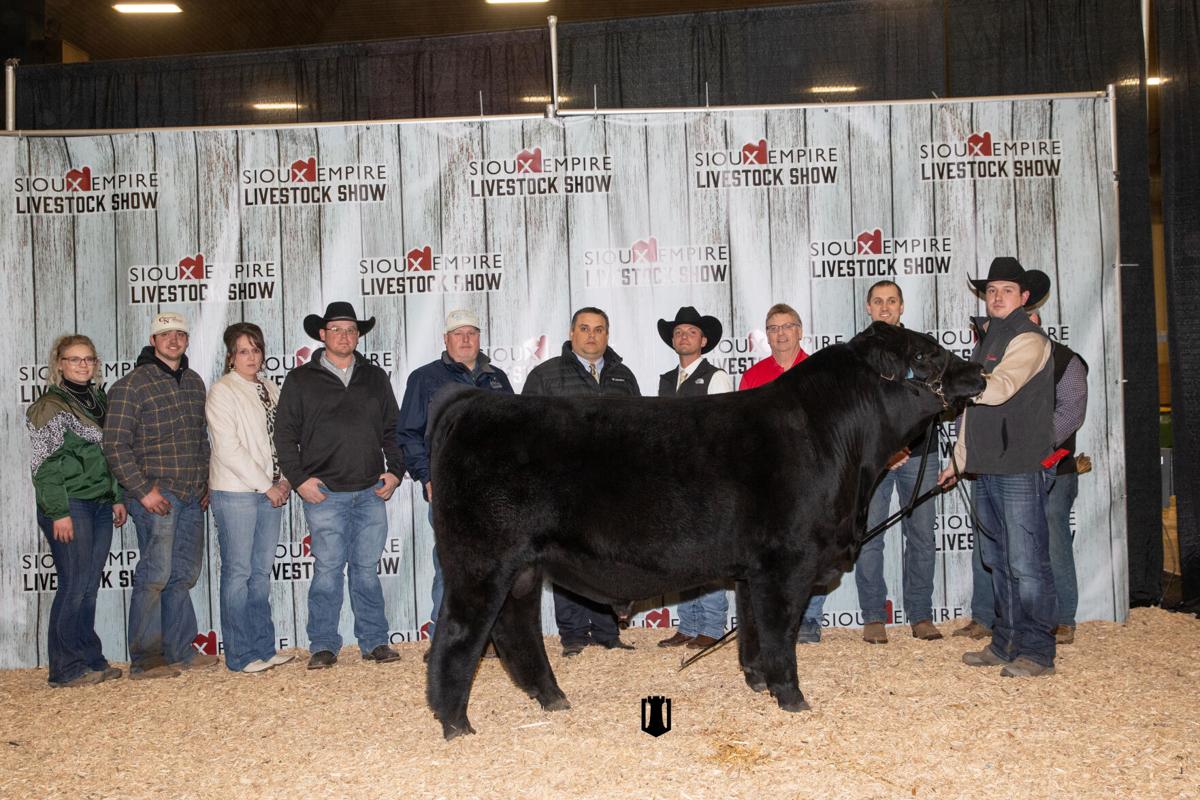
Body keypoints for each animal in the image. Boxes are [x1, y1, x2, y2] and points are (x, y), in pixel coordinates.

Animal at [425, 322, 986, 739]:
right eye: (929, 355)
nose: (978, 371)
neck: (838, 443)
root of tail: (473, 403)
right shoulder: (788, 562)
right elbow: (780, 632)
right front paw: (793, 698)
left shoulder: (754, 570)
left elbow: (754, 630)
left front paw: (758, 683)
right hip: (481, 562)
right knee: (458, 633)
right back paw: (455, 724)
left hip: (522, 567)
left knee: (514, 630)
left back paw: (552, 698)